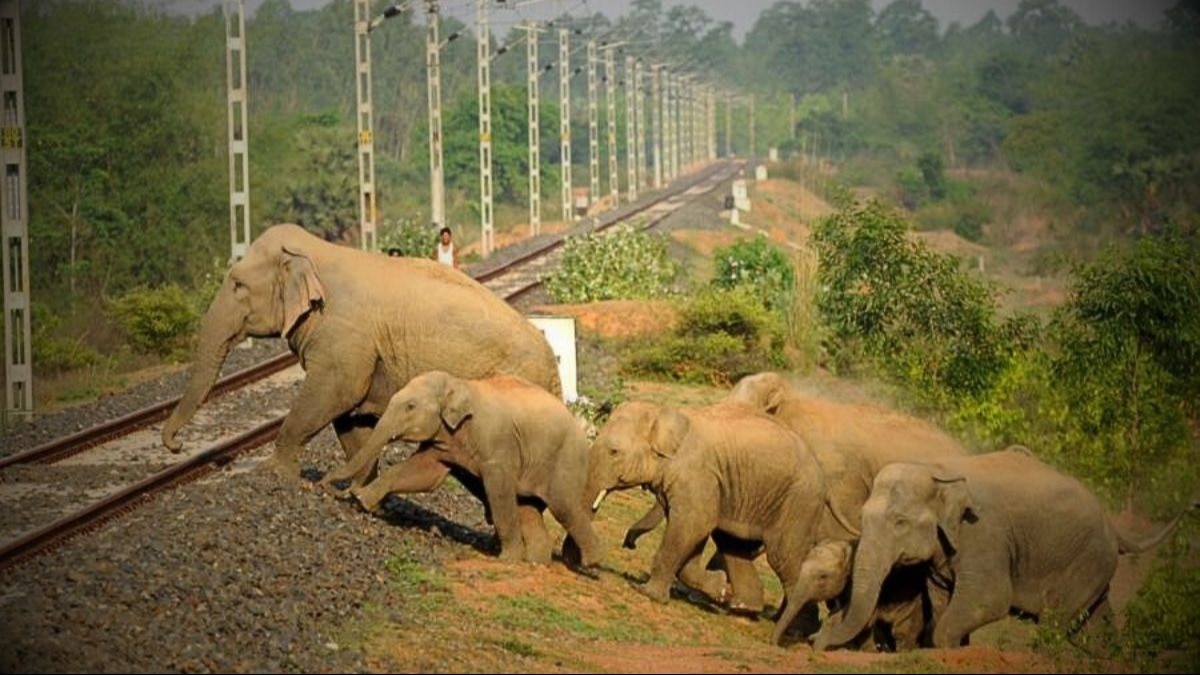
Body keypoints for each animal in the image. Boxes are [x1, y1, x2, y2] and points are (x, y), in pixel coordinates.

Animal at [160, 224, 560, 477]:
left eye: (238, 285)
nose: (176, 446)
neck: (316, 250)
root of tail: (552, 360)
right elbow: (350, 412)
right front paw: (357, 486)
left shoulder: (344, 335)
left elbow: (335, 392)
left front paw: (273, 474)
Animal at [322, 371, 600, 570]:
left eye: (410, 406)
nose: (325, 484)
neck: (459, 383)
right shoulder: (444, 441)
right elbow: (423, 474)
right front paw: (362, 501)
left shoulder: (497, 445)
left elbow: (498, 490)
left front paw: (506, 560)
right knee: (528, 508)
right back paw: (535, 563)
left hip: (567, 460)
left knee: (563, 506)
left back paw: (590, 563)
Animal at [586, 400, 828, 642]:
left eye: (614, 452)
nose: (629, 544)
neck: (662, 412)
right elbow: (695, 532)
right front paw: (721, 589)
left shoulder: (696, 474)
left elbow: (694, 523)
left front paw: (647, 593)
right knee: (733, 544)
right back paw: (741, 607)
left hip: (799, 502)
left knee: (783, 556)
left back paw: (799, 632)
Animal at [813, 449, 1197, 650]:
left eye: (899, 523)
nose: (819, 637)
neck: (937, 469)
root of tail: (1114, 527)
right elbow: (941, 599)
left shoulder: (984, 534)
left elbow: (990, 599)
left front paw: (949, 648)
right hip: (1098, 568)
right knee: (1098, 619)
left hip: (1087, 562)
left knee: (1056, 619)